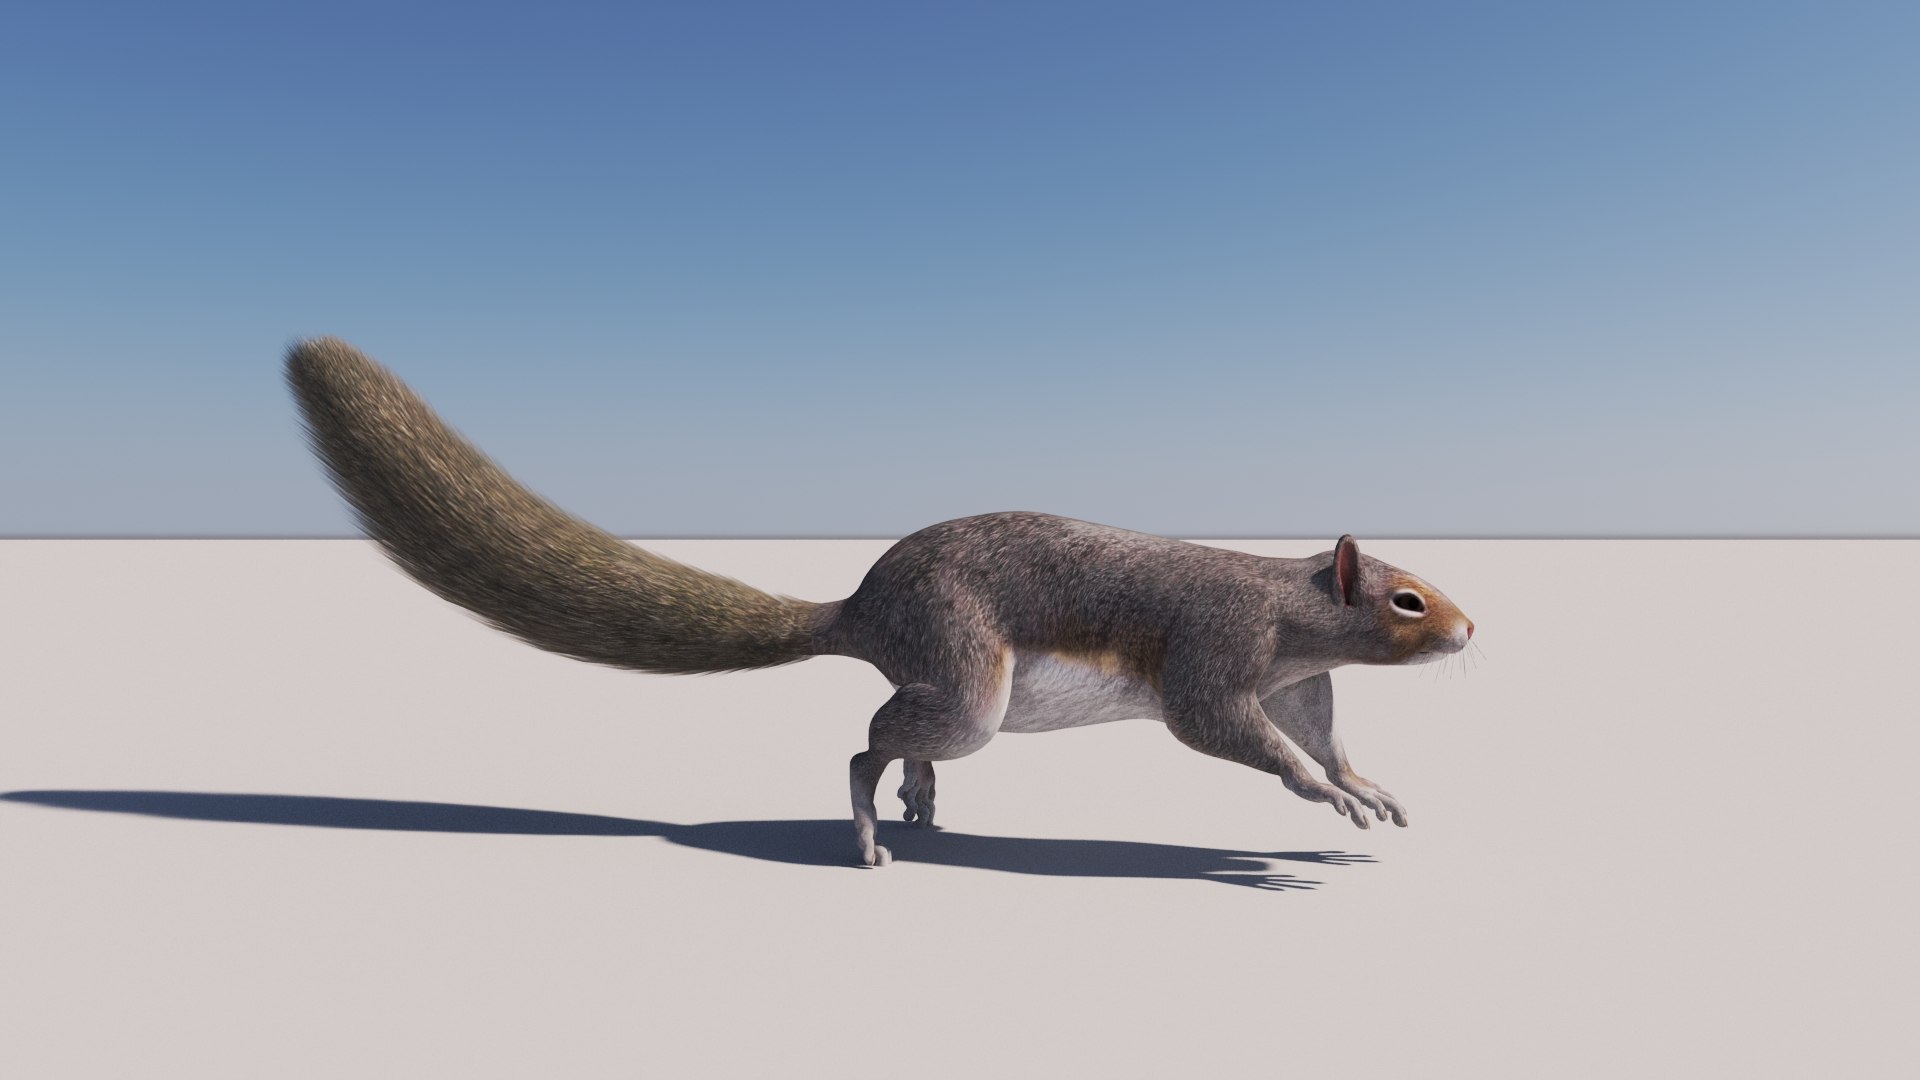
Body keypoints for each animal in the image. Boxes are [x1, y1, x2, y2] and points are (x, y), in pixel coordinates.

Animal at [286, 337, 1475, 868]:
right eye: (1408, 601)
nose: (1472, 630)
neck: (1287, 615)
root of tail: (863, 606)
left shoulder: (1303, 681)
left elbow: (1323, 732)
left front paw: (1365, 788)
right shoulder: (1217, 656)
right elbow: (1232, 732)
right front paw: (1319, 798)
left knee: (894, 733)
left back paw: (918, 793)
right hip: (967, 678)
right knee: (864, 738)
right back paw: (870, 826)